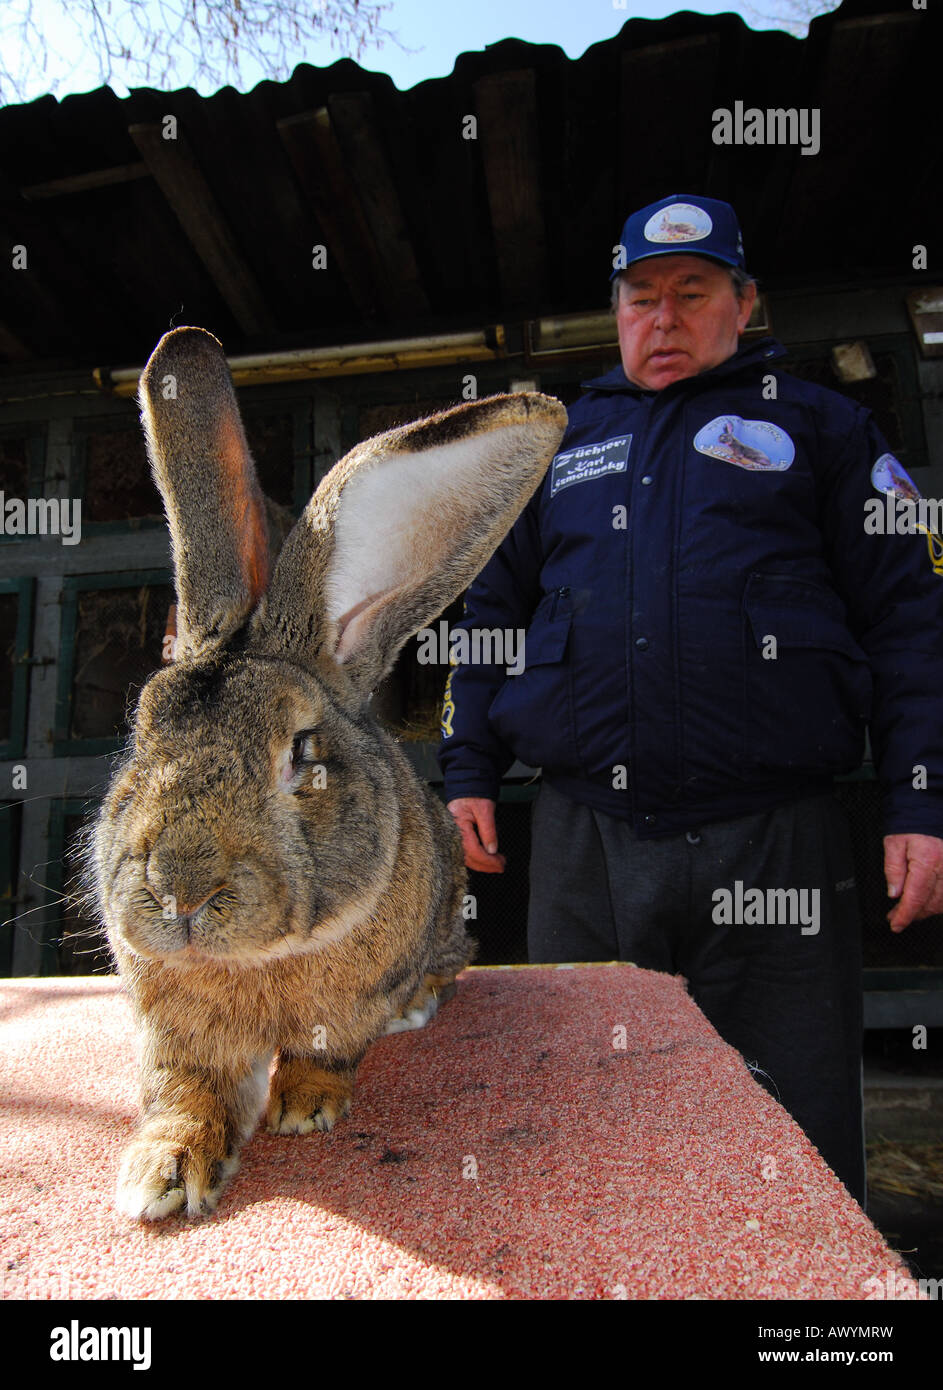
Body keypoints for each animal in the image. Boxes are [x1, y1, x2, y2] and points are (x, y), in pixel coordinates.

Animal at [90, 326, 566, 1221]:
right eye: (143, 726)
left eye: (303, 754)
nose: (180, 891)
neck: (261, 960)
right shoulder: (176, 1034)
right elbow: (186, 1092)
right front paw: (159, 1175)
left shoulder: (349, 1010)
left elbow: (328, 1055)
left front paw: (304, 1109)